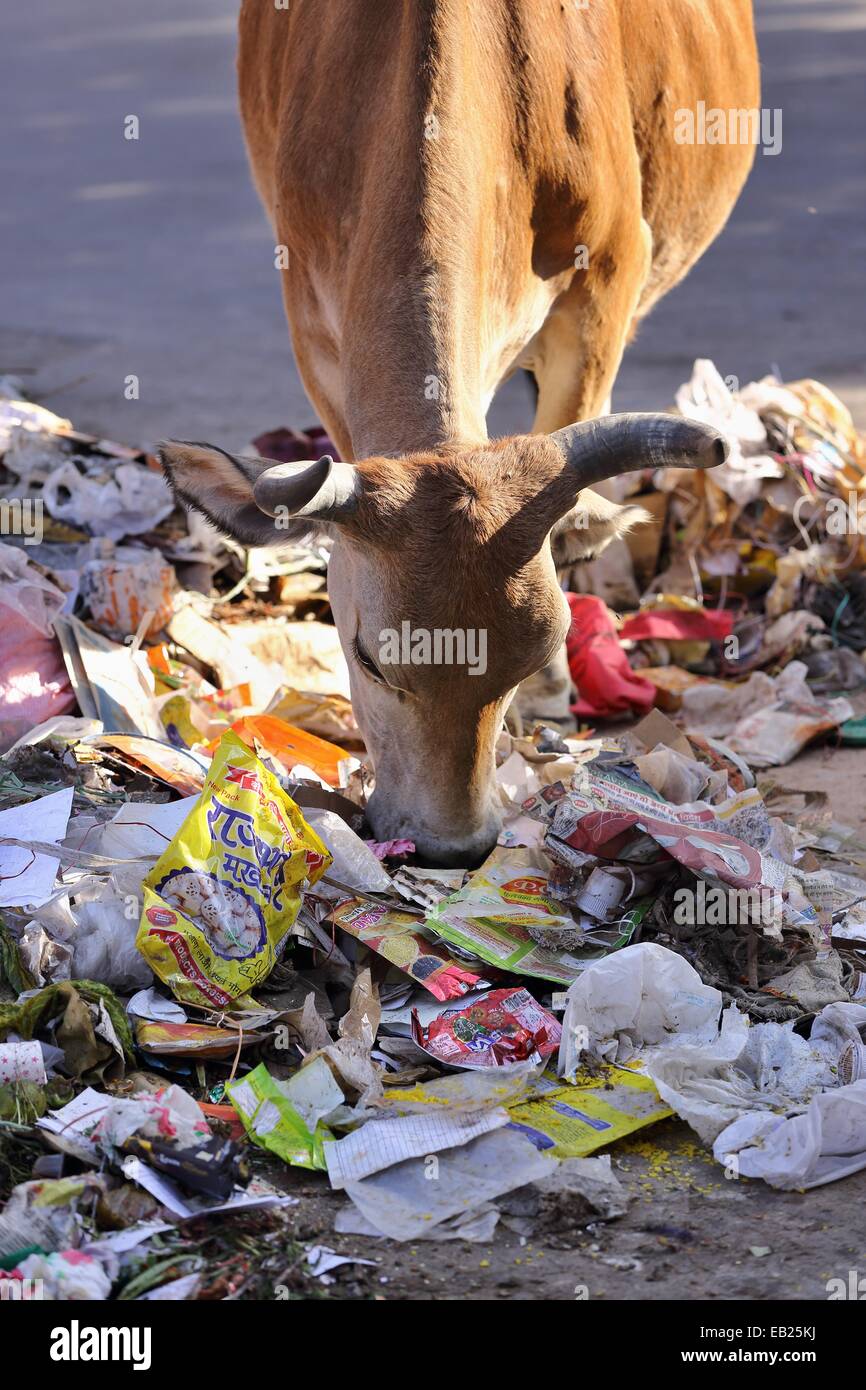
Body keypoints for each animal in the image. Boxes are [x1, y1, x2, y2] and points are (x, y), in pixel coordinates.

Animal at [161, 0, 759, 864]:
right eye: (370, 660)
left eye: (533, 652)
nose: (455, 848)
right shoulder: (313, 317)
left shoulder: (607, 287)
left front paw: (553, 690)